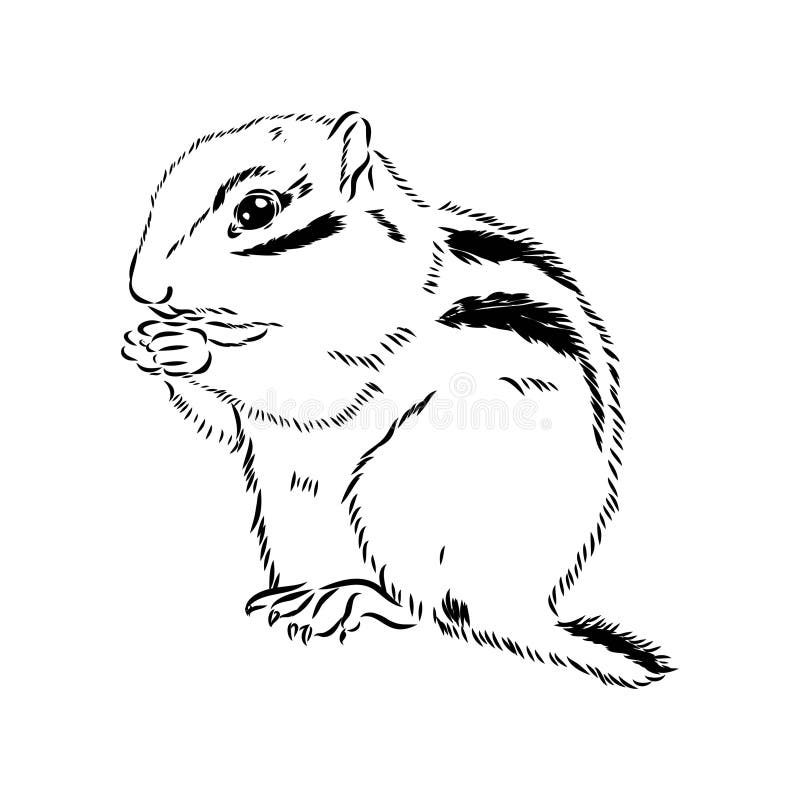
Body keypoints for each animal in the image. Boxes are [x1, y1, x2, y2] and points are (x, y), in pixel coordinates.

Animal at [122, 111, 674, 688]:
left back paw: (344, 599)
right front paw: (147, 342)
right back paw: (298, 597)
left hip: (407, 496)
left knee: (426, 610)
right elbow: (226, 421)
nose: (145, 291)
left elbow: (305, 382)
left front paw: (192, 348)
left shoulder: (363, 350)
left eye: (255, 211)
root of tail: (519, 610)